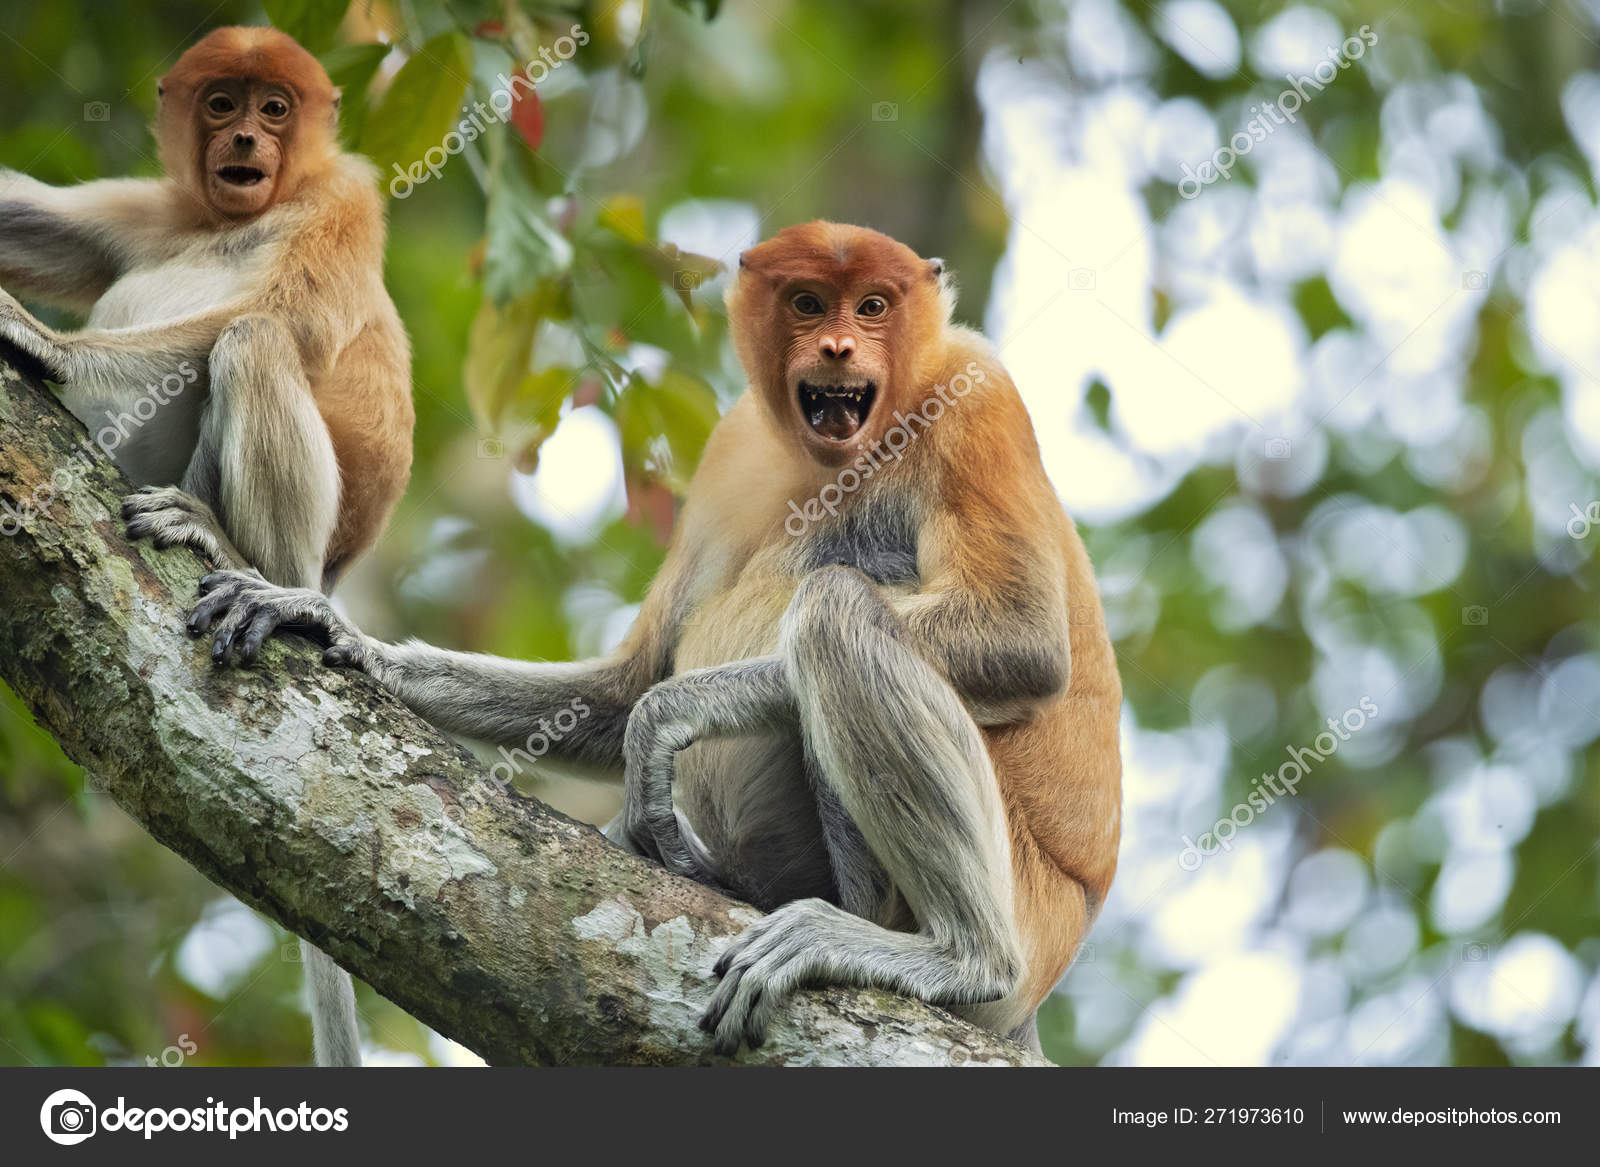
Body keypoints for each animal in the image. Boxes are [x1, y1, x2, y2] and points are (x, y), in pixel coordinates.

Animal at [0, 27, 415, 1066]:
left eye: (275, 107)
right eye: (221, 101)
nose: (245, 143)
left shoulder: (342, 198)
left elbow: (275, 314)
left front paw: (45, 345)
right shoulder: (151, 211)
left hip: (304, 548)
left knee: (254, 339)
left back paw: (232, 552)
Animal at [184, 221, 1121, 1058]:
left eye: (875, 305)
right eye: (808, 302)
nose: (840, 349)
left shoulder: (976, 395)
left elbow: (1023, 640)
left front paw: (669, 718)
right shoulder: (734, 445)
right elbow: (622, 685)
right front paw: (334, 628)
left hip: (1029, 907)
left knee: (835, 608)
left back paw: (958, 957)